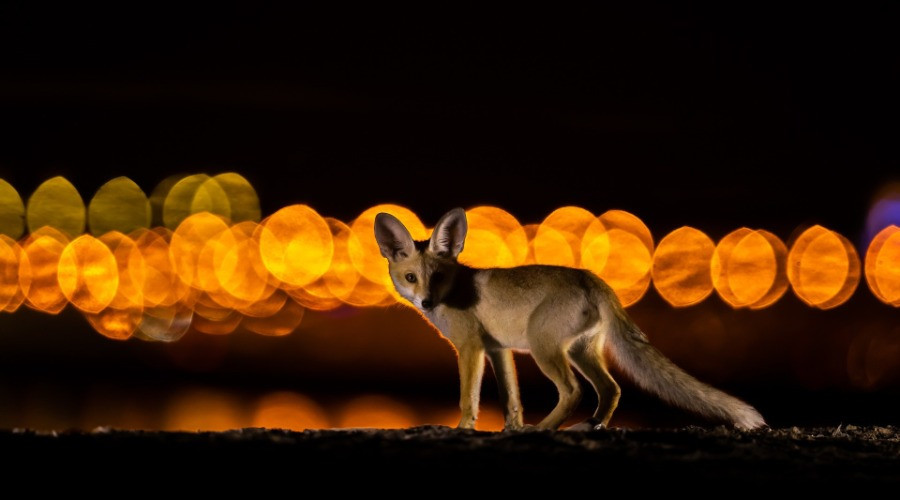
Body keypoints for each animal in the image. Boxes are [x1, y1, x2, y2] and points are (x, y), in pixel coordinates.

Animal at [374, 208, 765, 431]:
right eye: (411, 278)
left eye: (437, 277)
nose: (426, 301)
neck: (454, 290)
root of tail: (593, 279)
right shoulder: (498, 349)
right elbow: (511, 399)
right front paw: (512, 430)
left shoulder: (471, 348)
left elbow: (468, 399)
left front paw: (463, 429)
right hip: (581, 351)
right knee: (612, 388)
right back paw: (591, 426)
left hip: (544, 347)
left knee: (574, 391)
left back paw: (547, 429)